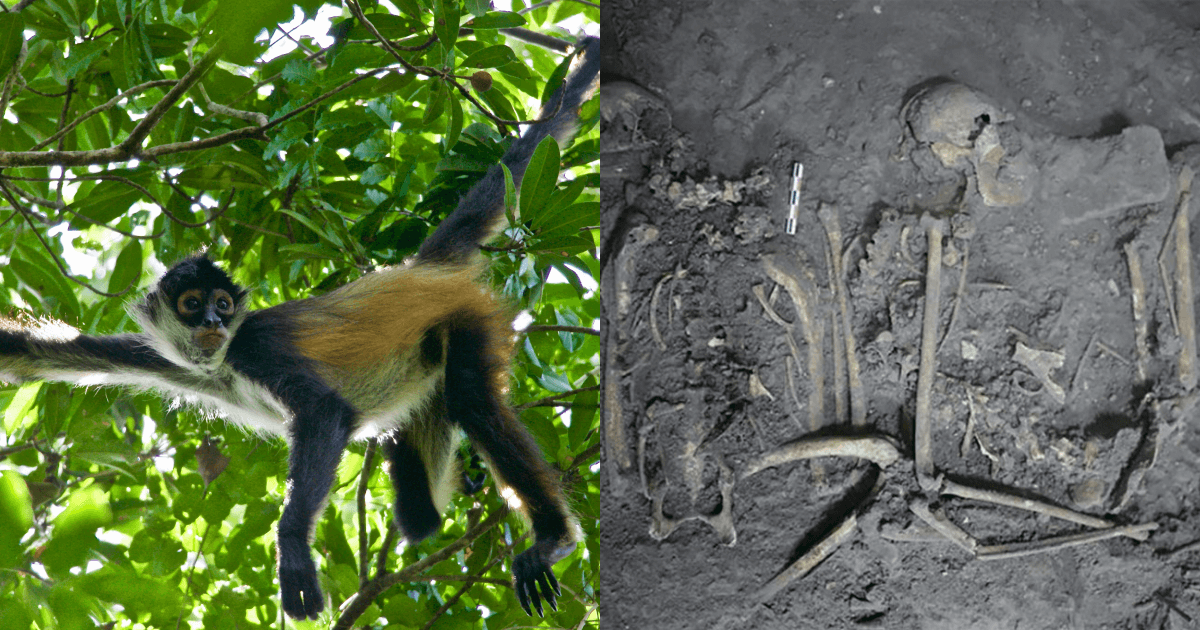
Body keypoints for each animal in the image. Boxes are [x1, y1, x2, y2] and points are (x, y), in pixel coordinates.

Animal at [0, 35, 598, 621]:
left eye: (222, 304)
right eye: (193, 305)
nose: (214, 320)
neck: (221, 365)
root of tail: (419, 270)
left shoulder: (255, 348)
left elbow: (325, 410)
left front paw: (292, 549)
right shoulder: (161, 354)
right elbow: (31, 350)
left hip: (468, 320)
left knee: (472, 398)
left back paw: (552, 539)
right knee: (419, 512)